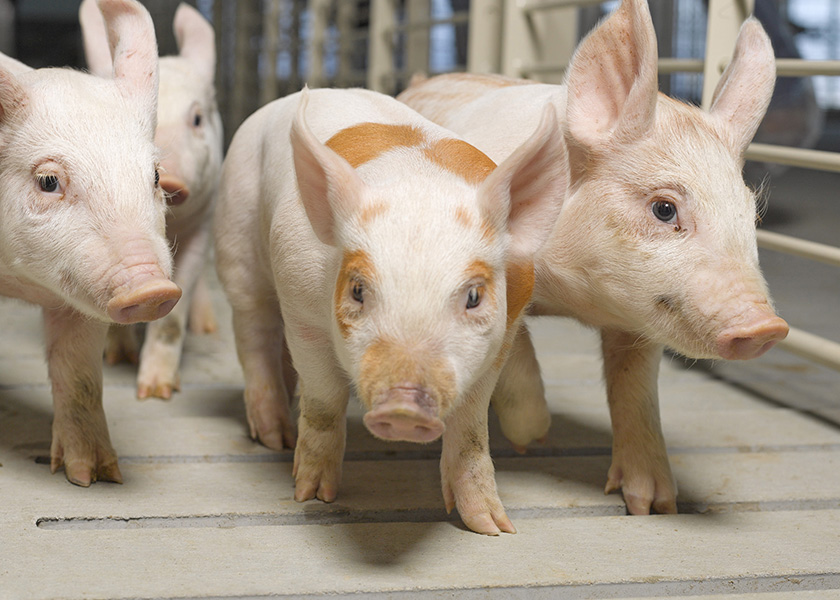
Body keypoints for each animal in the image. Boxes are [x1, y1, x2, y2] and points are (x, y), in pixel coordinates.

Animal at [0, 0, 181, 485]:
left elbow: (79, 373)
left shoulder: (81, 302)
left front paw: (93, 476)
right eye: (48, 181)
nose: (152, 288)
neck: (15, 281)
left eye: (154, 175)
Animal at [80, 0, 224, 399]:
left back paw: (207, 328)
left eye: (197, 119)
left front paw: (156, 393)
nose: (170, 175)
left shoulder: (204, 219)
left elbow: (173, 315)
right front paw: (117, 360)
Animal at [214, 87, 568, 535]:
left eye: (474, 296)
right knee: (252, 329)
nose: (403, 407)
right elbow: (324, 402)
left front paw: (493, 526)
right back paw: (276, 437)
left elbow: (471, 428)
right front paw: (312, 496)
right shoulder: (300, 308)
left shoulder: (502, 334)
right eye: (357, 290)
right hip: (236, 234)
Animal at [398, 0, 789, 515]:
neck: (572, 298)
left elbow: (635, 390)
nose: (767, 327)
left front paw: (652, 505)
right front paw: (532, 438)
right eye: (665, 208)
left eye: (751, 214)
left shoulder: (640, 320)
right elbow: (515, 355)